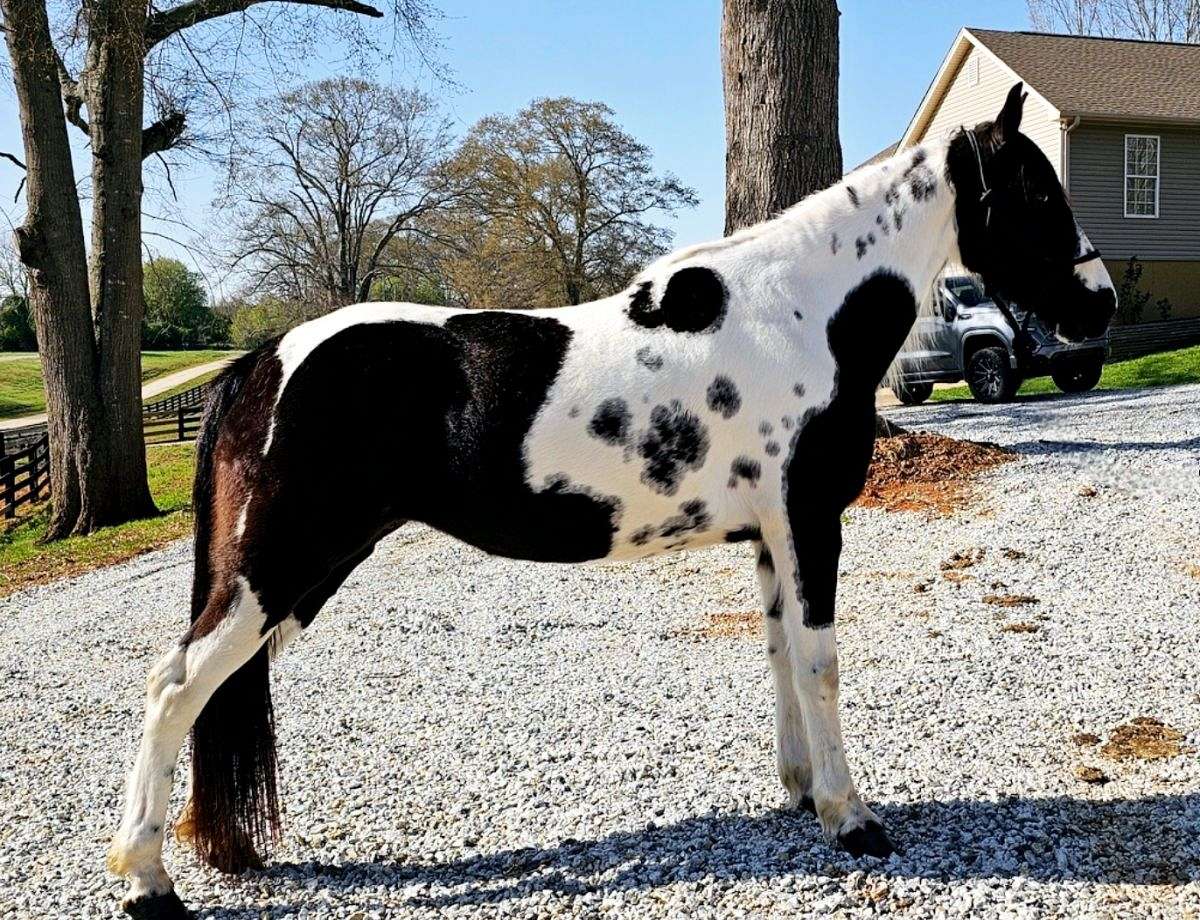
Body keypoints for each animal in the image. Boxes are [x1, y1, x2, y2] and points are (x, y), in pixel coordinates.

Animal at [108, 83, 1116, 917]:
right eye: (1035, 193)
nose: (1100, 302)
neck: (800, 312)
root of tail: (262, 362)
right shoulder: (811, 525)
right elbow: (821, 664)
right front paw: (851, 817)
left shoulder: (771, 537)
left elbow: (782, 658)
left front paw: (798, 792)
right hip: (275, 569)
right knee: (174, 687)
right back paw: (147, 881)